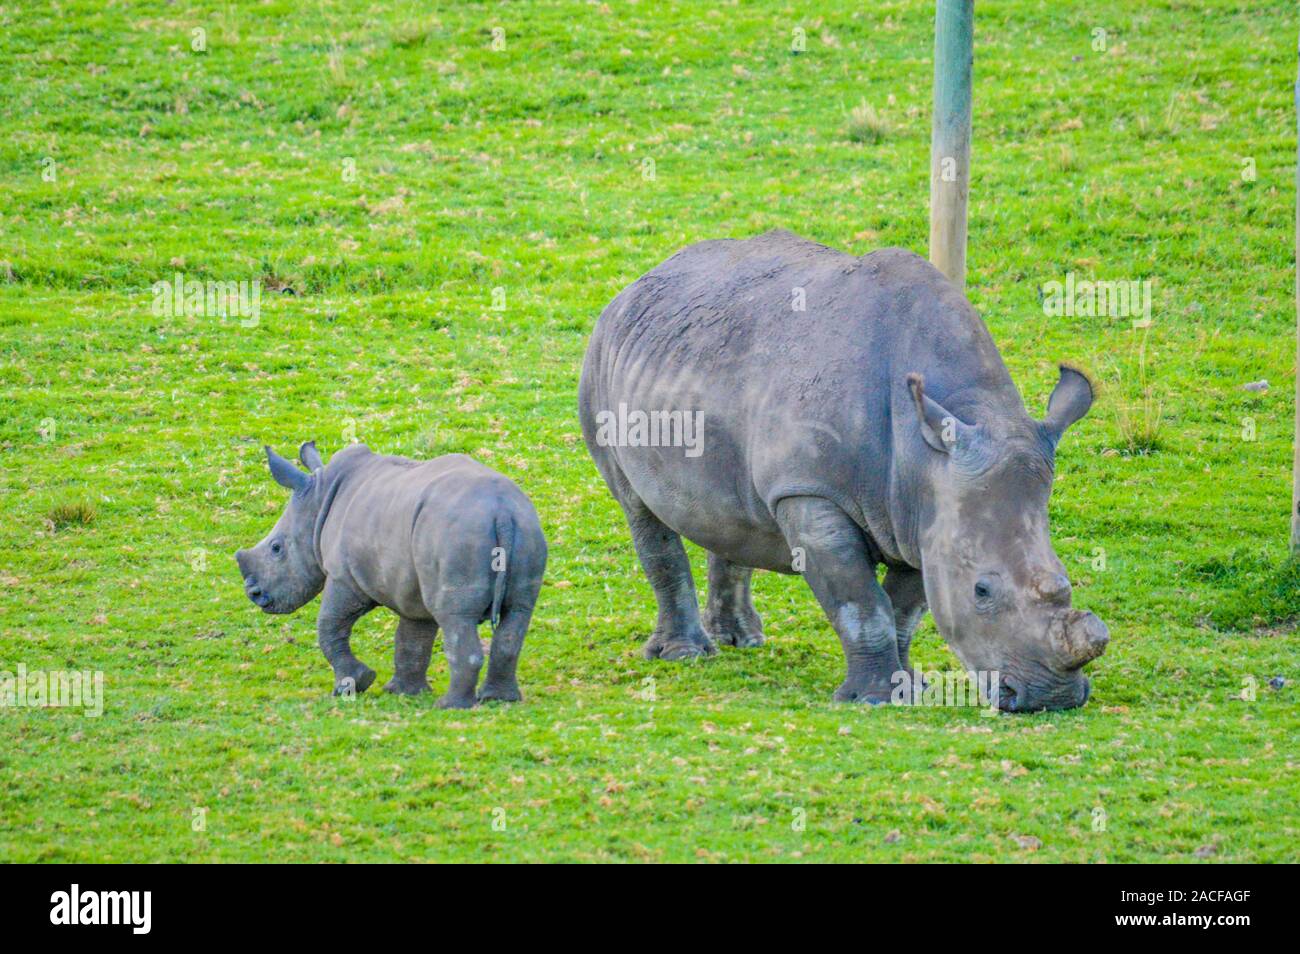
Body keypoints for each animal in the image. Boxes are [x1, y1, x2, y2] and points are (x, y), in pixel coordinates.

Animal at [234, 442, 547, 708]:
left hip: (459, 535)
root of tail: (501, 511)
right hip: (525, 526)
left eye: (276, 548)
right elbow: (412, 638)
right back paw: (499, 699)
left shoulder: (344, 576)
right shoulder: (411, 588)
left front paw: (355, 684)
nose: (254, 593)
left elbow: (329, 626)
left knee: (455, 617)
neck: (318, 501)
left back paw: (450, 706)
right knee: (517, 613)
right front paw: (402, 692)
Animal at [579, 230, 1108, 712]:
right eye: (981, 591)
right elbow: (862, 601)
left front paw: (910, 688)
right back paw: (685, 655)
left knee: (730, 511)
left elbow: (903, 607)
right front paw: (875, 699)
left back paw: (742, 641)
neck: (924, 456)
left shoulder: (920, 513)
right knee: (639, 509)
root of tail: (635, 284)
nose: (1053, 698)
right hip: (600, 364)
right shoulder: (812, 491)